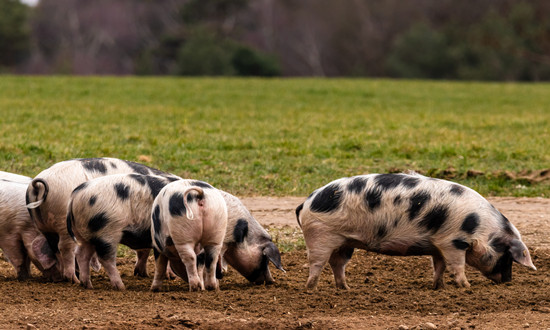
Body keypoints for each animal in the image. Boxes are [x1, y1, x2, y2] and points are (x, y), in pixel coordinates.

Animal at [298, 173, 540, 288]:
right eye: (507, 256)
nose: (508, 281)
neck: (480, 227)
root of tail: (306, 202)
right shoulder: (453, 242)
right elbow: (457, 266)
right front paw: (466, 287)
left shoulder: (437, 245)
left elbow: (440, 267)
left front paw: (438, 287)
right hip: (320, 235)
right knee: (317, 263)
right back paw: (311, 289)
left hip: (345, 242)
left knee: (337, 263)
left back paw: (346, 289)